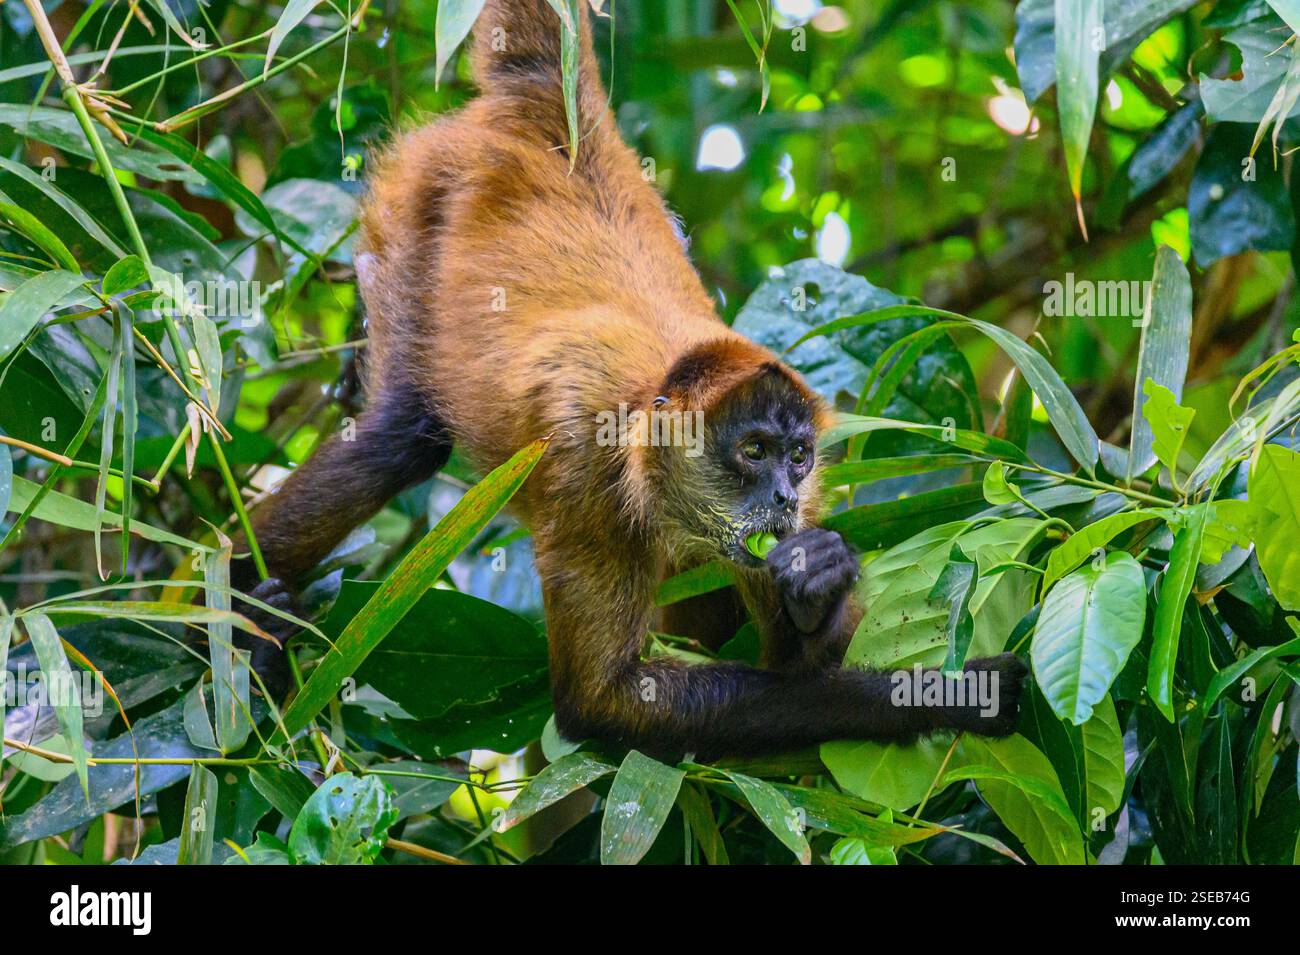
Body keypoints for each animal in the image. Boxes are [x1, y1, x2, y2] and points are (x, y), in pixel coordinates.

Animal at [230, 0, 1025, 761]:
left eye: (798, 456)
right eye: (754, 451)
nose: (782, 496)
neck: (648, 410)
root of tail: (552, 117)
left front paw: (817, 584)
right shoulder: (584, 460)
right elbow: (601, 699)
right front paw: (950, 697)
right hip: (421, 203)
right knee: (400, 437)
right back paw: (236, 623)